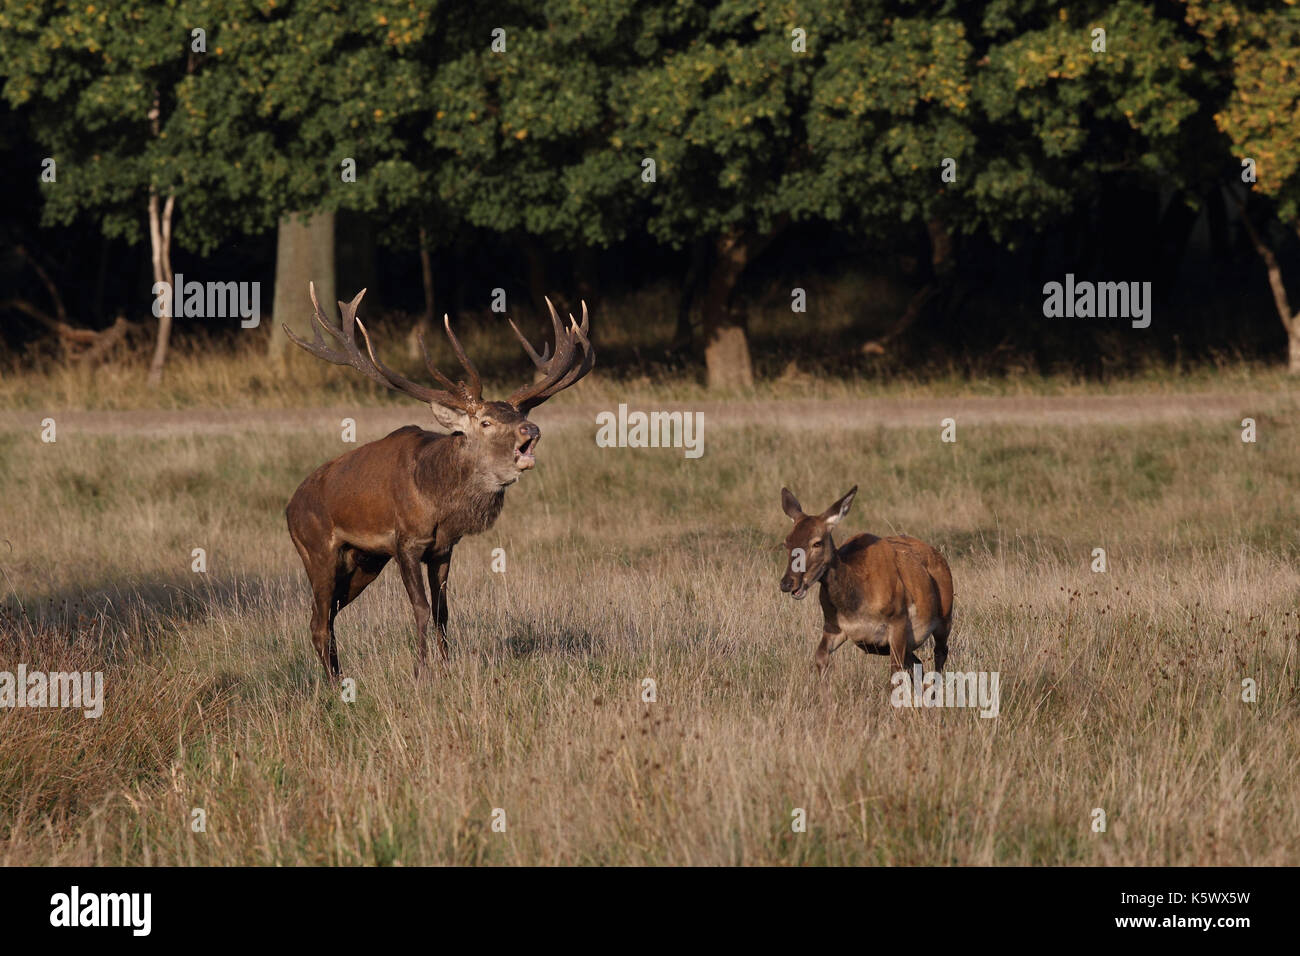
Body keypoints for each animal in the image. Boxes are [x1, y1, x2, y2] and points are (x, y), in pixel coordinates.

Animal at [283, 283, 593, 680]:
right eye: (486, 422)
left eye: (518, 414)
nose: (532, 429)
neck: (438, 502)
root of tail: (290, 505)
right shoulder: (405, 542)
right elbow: (420, 609)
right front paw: (421, 671)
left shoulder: (444, 547)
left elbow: (442, 612)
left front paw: (447, 667)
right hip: (317, 549)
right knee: (319, 622)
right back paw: (334, 684)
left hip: (362, 562)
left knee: (327, 616)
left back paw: (339, 675)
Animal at [779, 486, 954, 683]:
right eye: (786, 542)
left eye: (817, 543)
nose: (787, 583)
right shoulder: (834, 625)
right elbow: (820, 657)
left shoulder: (899, 621)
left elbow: (895, 673)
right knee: (918, 663)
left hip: (945, 616)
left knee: (940, 653)